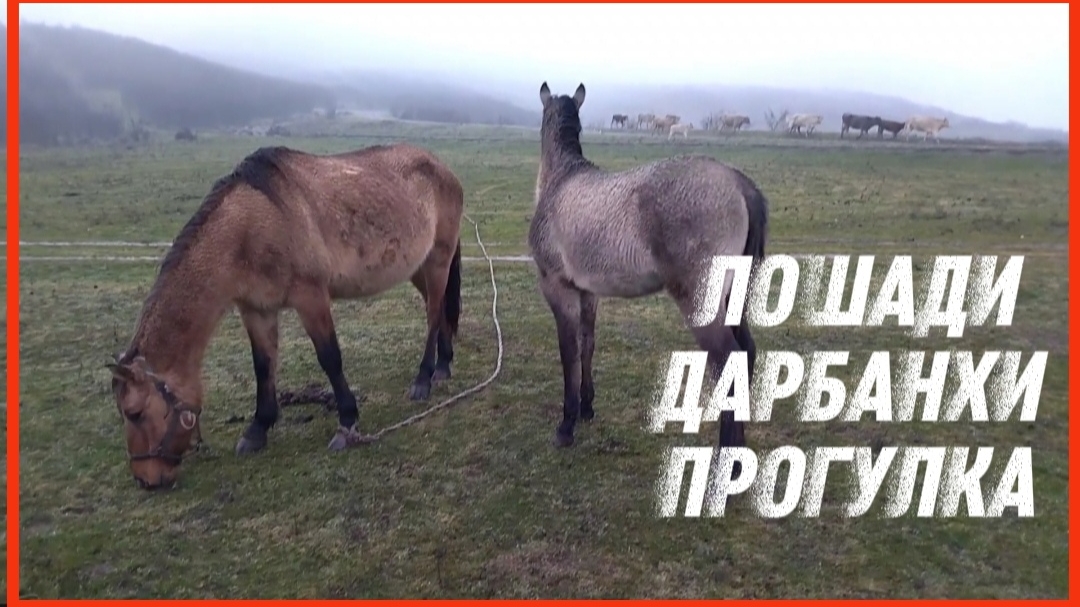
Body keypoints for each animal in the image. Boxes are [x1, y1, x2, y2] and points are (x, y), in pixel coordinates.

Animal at [107, 143, 465, 490]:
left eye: (134, 412)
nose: (145, 479)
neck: (249, 229)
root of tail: (444, 168)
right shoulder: (256, 309)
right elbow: (263, 366)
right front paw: (257, 430)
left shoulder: (311, 298)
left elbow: (330, 358)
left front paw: (347, 422)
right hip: (418, 267)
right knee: (439, 311)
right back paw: (444, 365)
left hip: (437, 258)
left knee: (433, 314)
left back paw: (423, 379)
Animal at [529, 82, 769, 479]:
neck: (561, 183)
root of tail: (738, 184)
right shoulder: (588, 293)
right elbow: (586, 344)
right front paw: (587, 408)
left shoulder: (557, 288)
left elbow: (568, 353)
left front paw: (566, 426)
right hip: (734, 296)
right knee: (746, 352)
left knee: (726, 360)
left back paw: (726, 461)